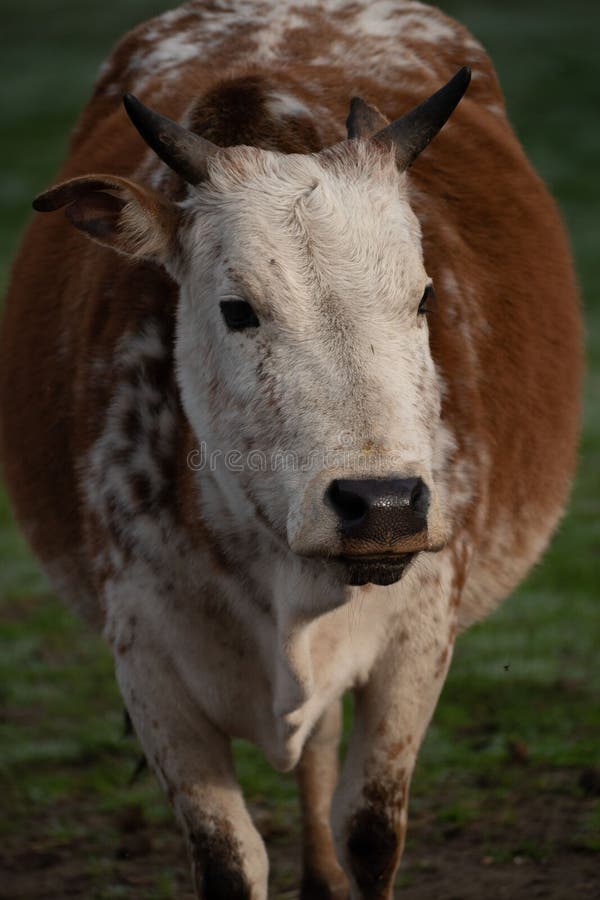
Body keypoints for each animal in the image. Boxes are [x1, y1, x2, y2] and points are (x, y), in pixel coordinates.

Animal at [0, 1, 582, 897]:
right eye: (238, 309)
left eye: (423, 296)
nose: (383, 505)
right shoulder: (147, 662)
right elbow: (228, 858)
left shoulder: (418, 643)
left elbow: (370, 831)